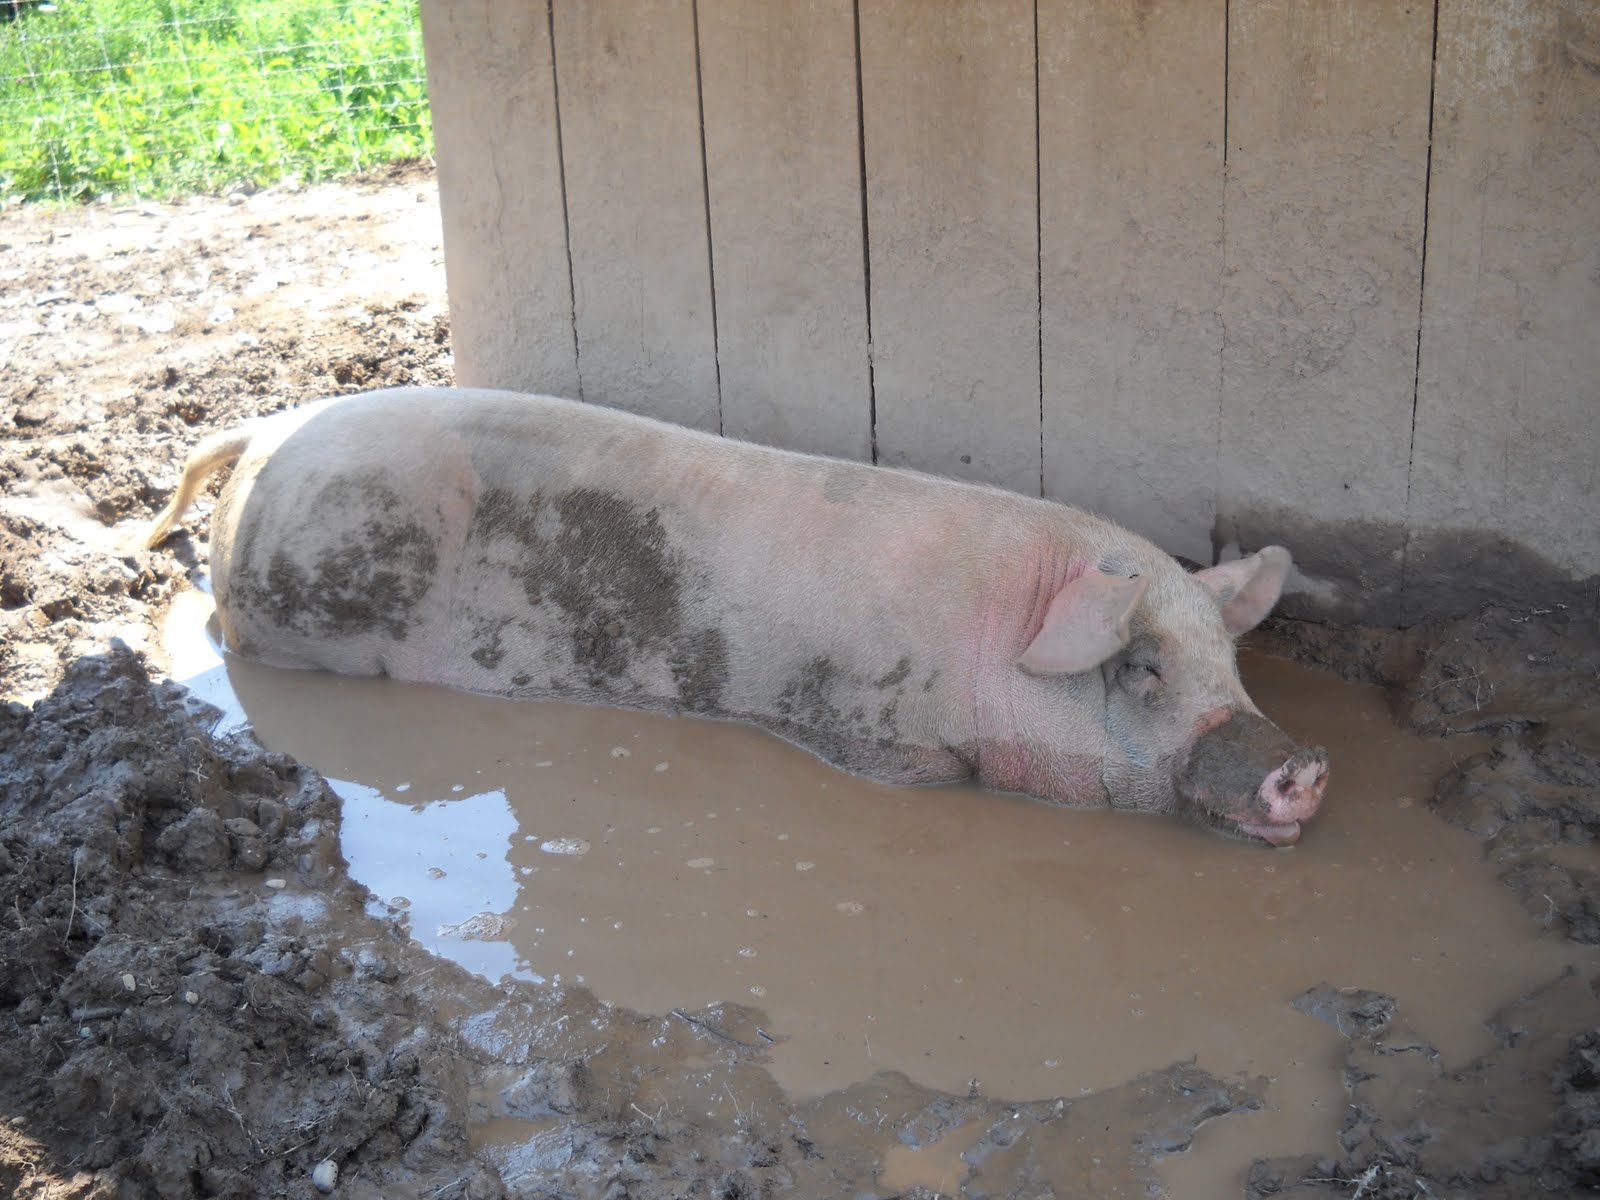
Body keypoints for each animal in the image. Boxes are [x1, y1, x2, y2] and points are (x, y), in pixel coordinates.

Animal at [147, 386, 1328, 845]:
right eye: (1145, 669)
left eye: (1230, 664)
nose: (1305, 761)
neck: (1001, 641)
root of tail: (266, 431)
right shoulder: (884, 737)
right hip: (302, 607)